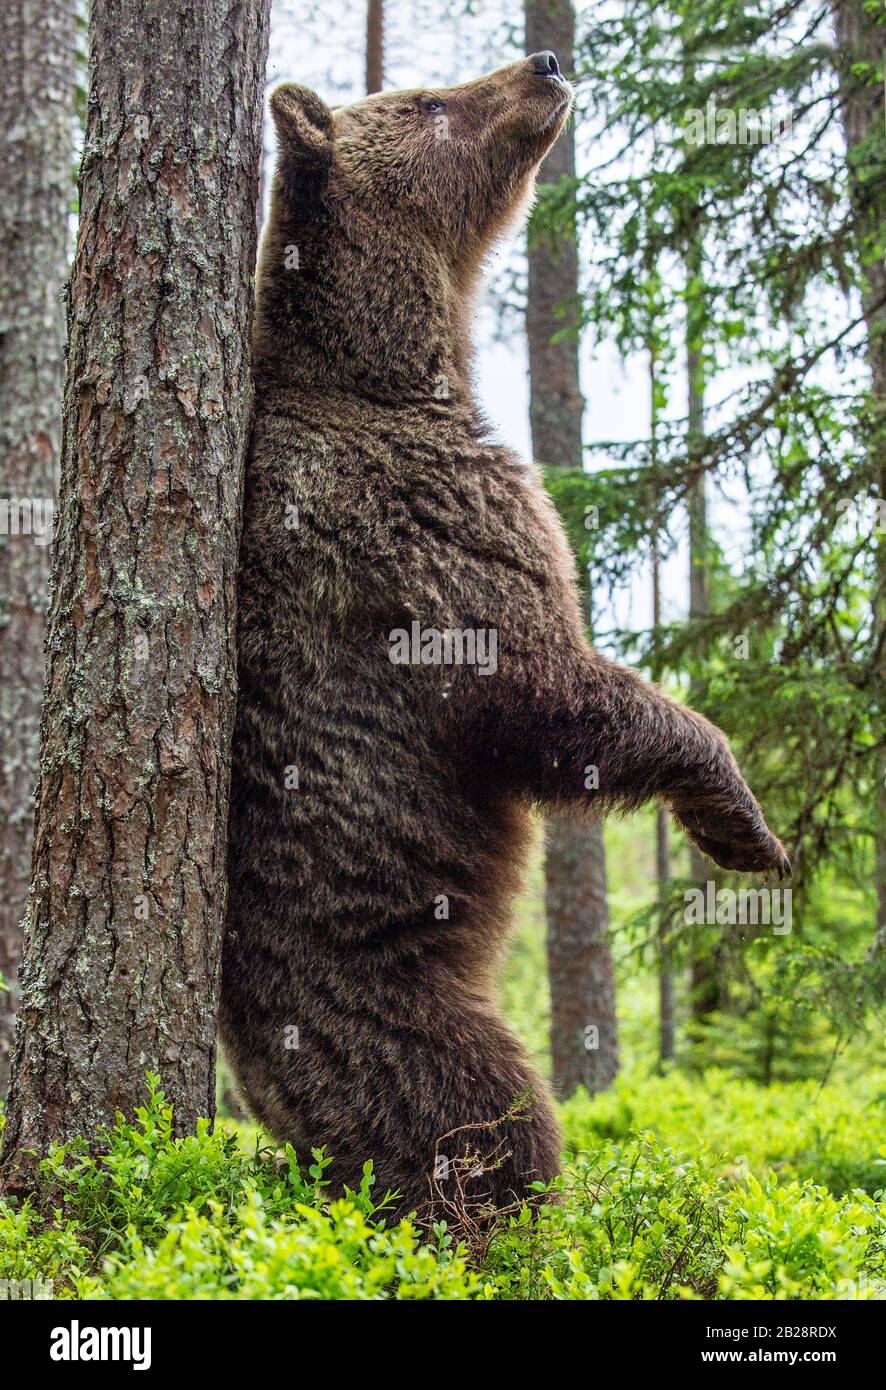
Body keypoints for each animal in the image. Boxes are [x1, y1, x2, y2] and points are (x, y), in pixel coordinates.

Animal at [219, 52, 788, 1222]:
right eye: (431, 102)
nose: (546, 62)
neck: (396, 367)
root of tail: (256, 1070)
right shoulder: (428, 526)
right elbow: (542, 684)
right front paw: (744, 823)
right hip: (383, 991)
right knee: (475, 1111)